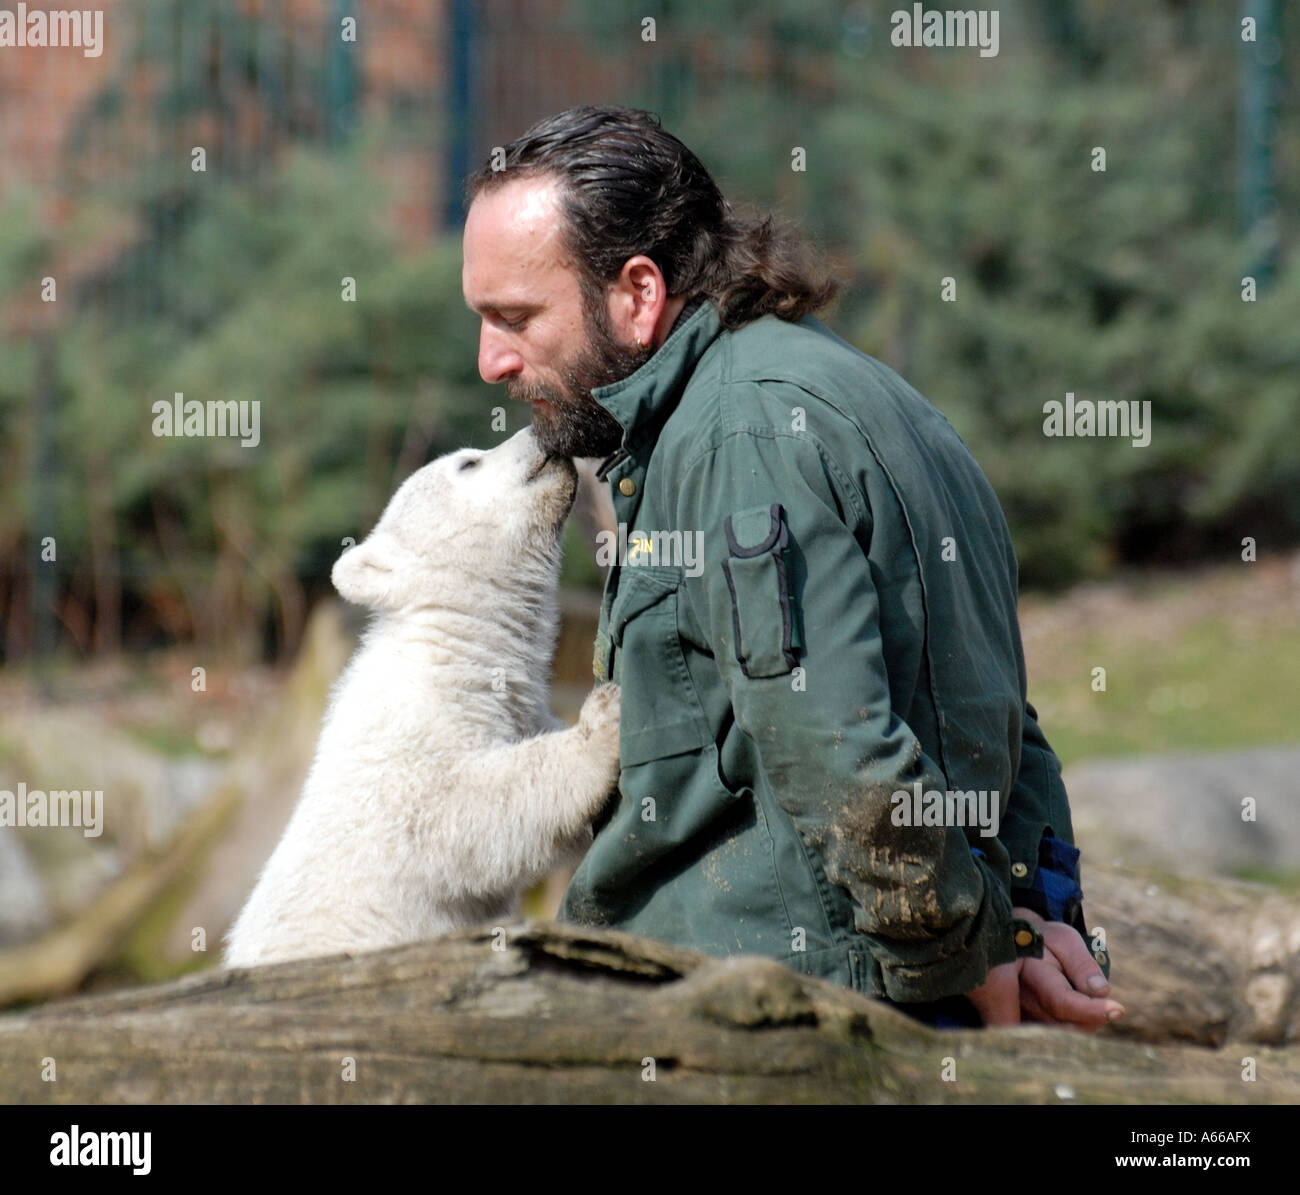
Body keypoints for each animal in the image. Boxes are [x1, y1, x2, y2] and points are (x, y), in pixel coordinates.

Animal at [223, 426, 621, 968]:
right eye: (468, 463)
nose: (538, 433)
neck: (449, 645)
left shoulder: (520, 710)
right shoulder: (406, 733)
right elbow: (463, 809)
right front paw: (603, 723)